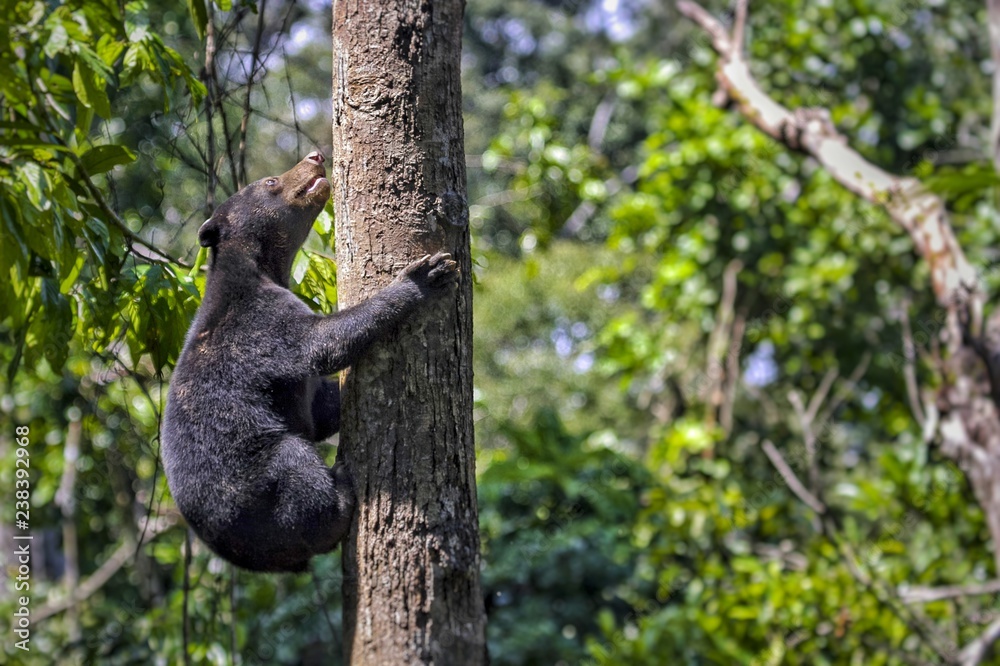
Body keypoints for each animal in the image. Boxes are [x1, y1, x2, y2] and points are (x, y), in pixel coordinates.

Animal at [161, 151, 458, 573]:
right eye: (270, 181)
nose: (315, 156)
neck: (262, 268)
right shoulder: (261, 322)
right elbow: (324, 343)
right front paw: (424, 276)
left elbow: (319, 407)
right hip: (254, 488)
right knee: (296, 467)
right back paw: (342, 493)